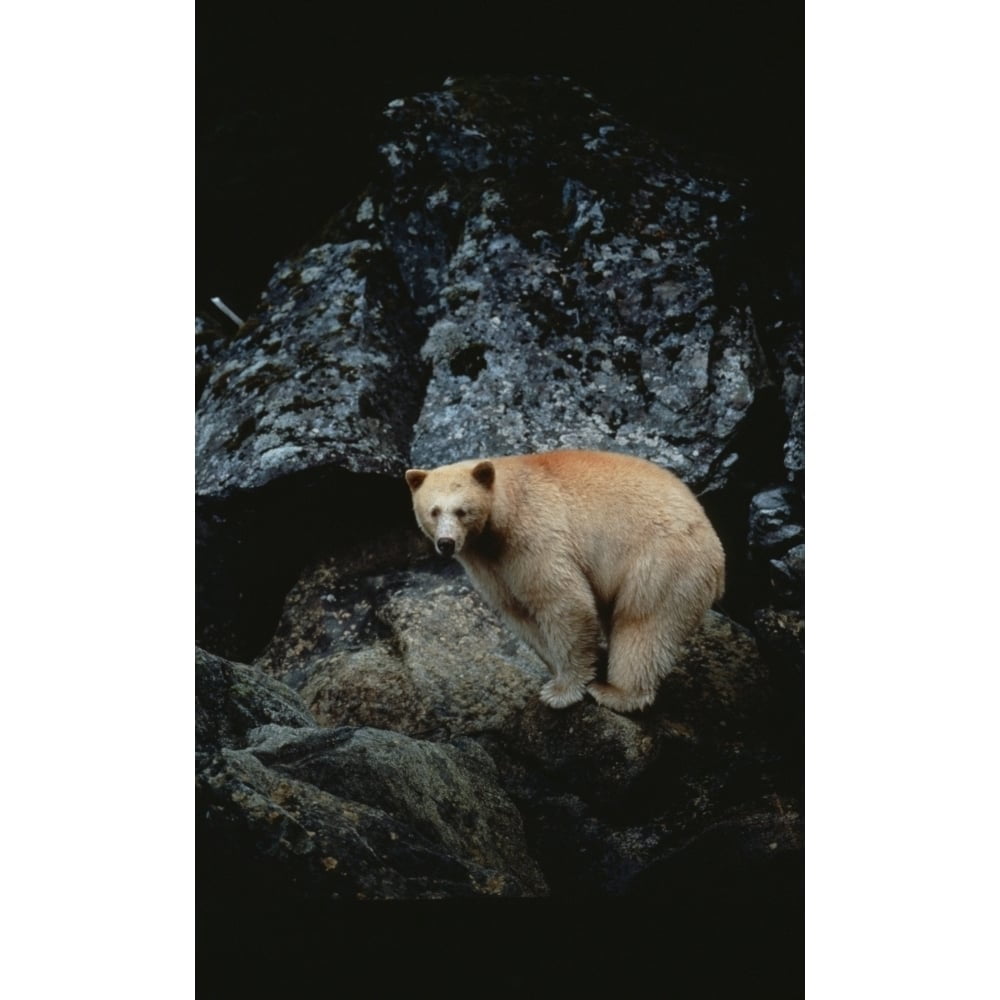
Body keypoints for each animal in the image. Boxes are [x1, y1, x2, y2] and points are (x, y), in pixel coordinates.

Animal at [404, 449, 725, 713]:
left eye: (462, 511)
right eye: (433, 511)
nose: (446, 543)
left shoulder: (534, 535)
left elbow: (563, 603)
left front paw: (562, 691)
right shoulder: (489, 564)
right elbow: (519, 612)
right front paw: (557, 676)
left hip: (660, 563)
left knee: (644, 623)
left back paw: (616, 693)